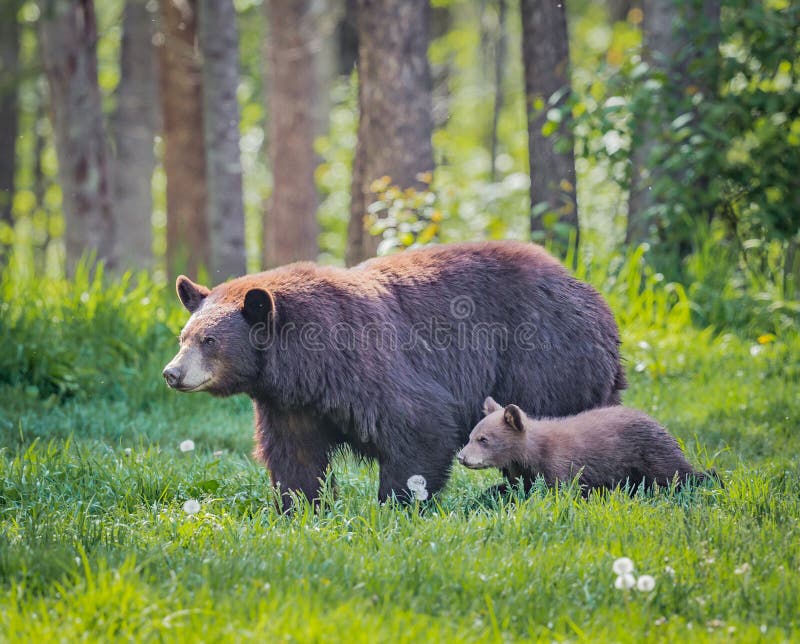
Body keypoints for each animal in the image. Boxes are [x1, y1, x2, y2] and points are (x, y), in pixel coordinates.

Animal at [162, 241, 626, 509]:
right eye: (184, 335)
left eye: (209, 340)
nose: (171, 372)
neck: (305, 365)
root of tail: (599, 303)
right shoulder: (291, 403)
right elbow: (295, 455)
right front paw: (301, 506)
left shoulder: (368, 362)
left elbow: (417, 425)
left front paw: (397, 504)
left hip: (544, 359)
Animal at [457, 396, 711, 493]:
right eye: (470, 436)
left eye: (483, 439)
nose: (461, 457)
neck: (533, 452)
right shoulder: (523, 472)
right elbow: (516, 488)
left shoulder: (560, 464)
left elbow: (562, 489)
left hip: (651, 453)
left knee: (677, 474)